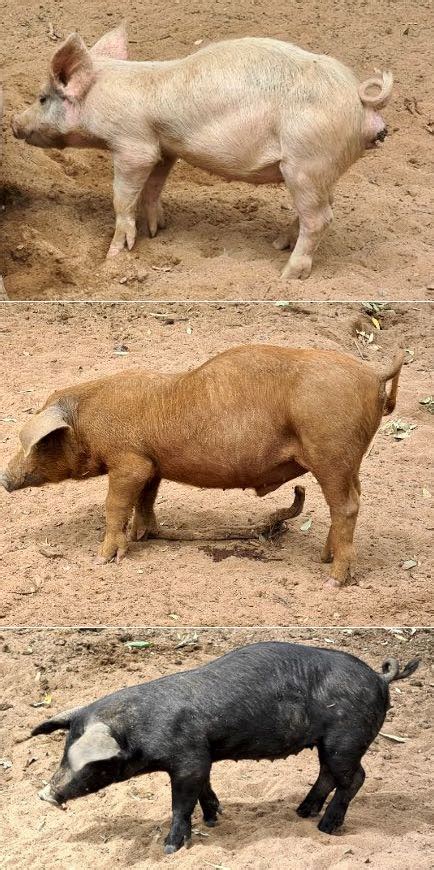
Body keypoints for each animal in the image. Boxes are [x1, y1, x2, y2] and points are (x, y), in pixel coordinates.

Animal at [1, 345, 405, 585]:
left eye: (40, 442)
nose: (4, 477)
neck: (87, 423)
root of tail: (373, 375)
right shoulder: (152, 463)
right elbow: (146, 499)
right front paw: (142, 535)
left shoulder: (129, 461)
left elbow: (115, 504)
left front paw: (103, 560)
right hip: (349, 460)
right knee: (352, 500)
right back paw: (323, 558)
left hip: (331, 451)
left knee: (346, 506)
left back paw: (333, 580)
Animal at [11, 25, 393, 278]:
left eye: (42, 98)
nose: (14, 122)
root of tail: (361, 102)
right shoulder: (164, 147)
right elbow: (153, 187)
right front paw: (157, 230)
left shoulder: (133, 144)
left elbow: (123, 196)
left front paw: (116, 253)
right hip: (319, 168)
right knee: (322, 208)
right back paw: (278, 244)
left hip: (306, 161)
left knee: (320, 217)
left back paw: (286, 273)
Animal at [31, 641, 420, 853]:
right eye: (64, 750)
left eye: (92, 764)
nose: (44, 794)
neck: (140, 730)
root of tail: (380, 676)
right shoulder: (201, 757)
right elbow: (204, 788)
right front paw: (214, 818)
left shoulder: (187, 759)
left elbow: (180, 805)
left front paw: (170, 848)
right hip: (328, 743)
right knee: (328, 774)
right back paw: (301, 813)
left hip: (347, 738)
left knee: (354, 778)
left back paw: (326, 827)